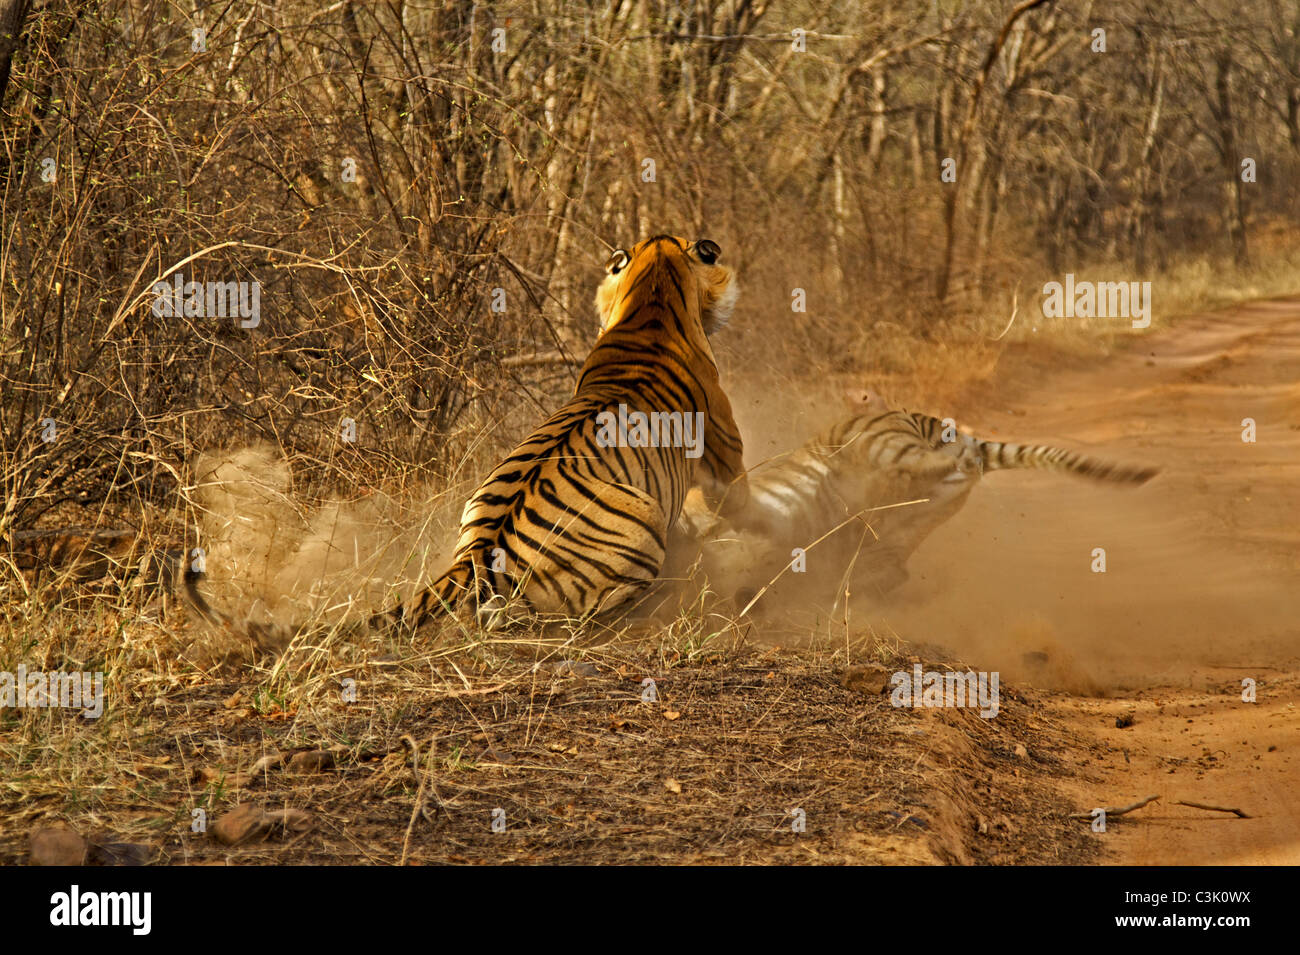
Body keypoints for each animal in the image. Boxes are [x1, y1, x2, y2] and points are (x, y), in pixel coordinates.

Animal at [667, 393, 1158, 616]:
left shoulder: (751, 507)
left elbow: (722, 499)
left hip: (886, 449)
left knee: (928, 461)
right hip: (904, 526)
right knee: (892, 562)